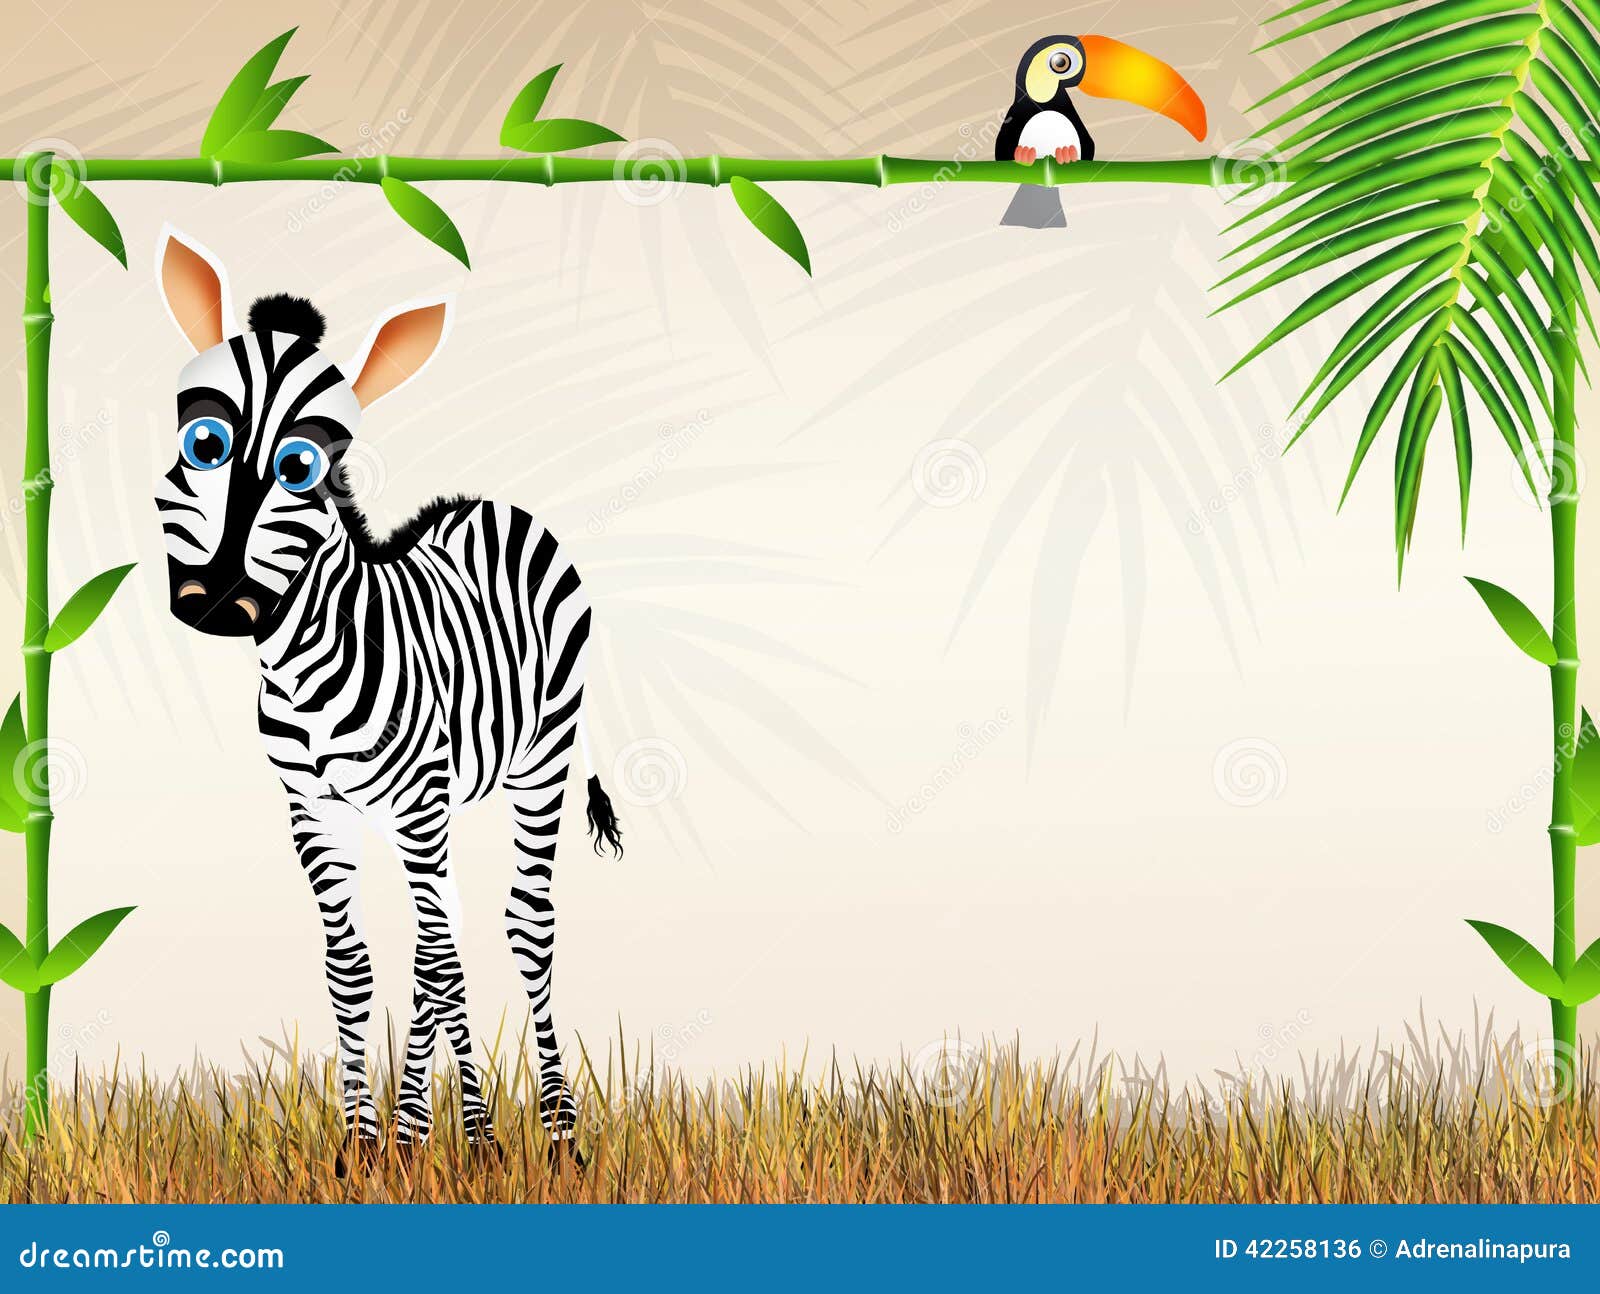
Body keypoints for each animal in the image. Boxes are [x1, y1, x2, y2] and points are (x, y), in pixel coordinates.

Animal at [153, 227, 622, 1166]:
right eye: (204, 440)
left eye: (304, 465)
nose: (217, 598)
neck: (306, 665)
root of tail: (493, 505)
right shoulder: (315, 809)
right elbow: (356, 964)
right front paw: (367, 1146)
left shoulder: (417, 803)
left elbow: (440, 959)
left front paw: (462, 1140)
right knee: (436, 940)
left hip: (536, 764)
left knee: (520, 925)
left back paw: (554, 1133)